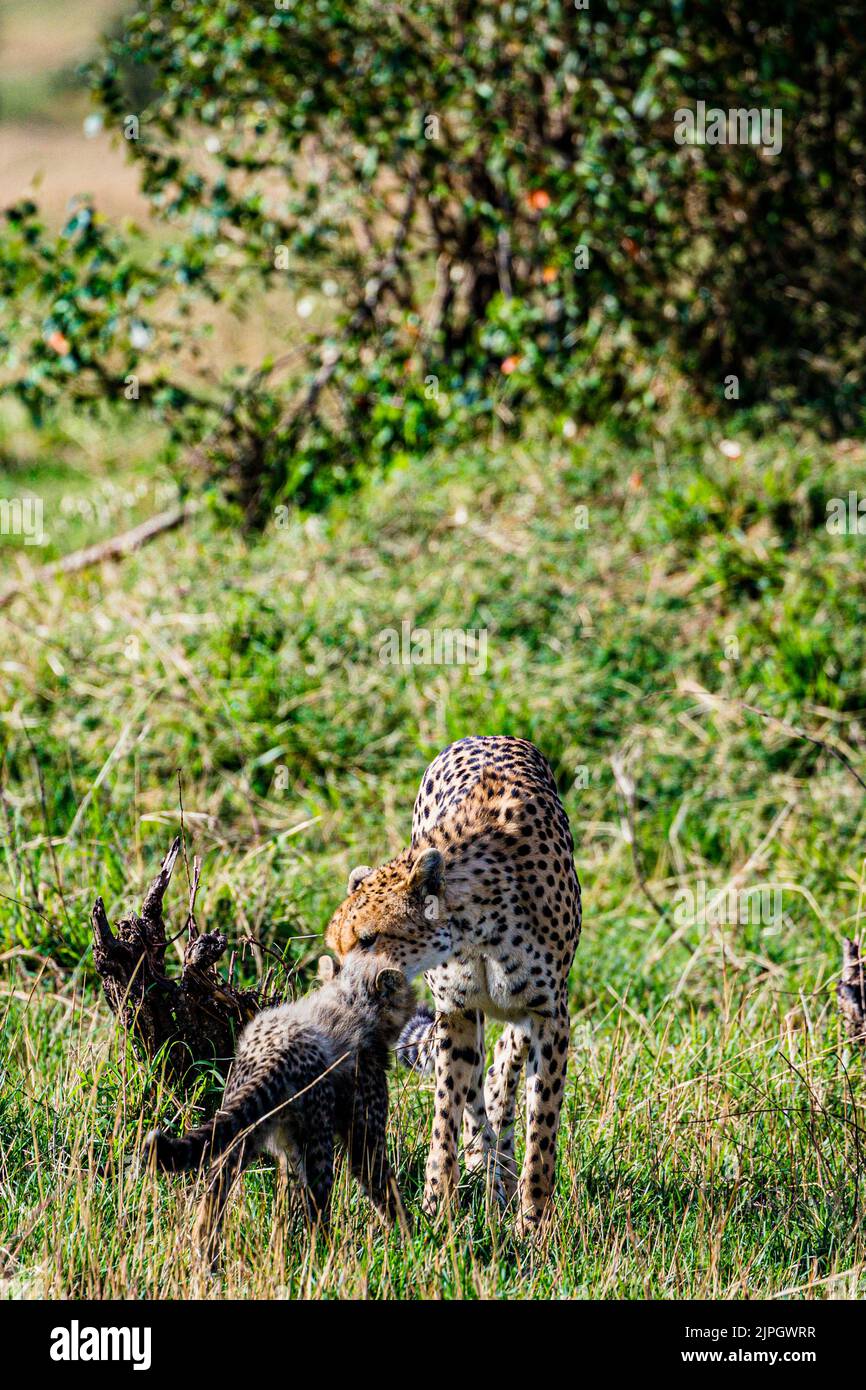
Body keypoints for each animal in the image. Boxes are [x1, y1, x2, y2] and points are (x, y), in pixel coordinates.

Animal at [144, 953, 414, 1264]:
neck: (351, 1001)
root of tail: (277, 1051)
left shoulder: (287, 1149)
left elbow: (285, 1198)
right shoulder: (363, 1134)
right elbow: (381, 1183)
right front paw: (415, 1238)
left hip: (242, 1127)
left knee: (216, 1188)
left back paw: (205, 1255)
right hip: (317, 1138)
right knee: (317, 1207)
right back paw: (325, 1259)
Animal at [325, 734, 581, 1235]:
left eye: (368, 939)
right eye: (338, 950)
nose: (347, 993)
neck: (478, 924)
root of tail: (491, 735)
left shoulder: (550, 1015)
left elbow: (542, 1131)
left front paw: (532, 1226)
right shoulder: (456, 1012)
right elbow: (447, 1112)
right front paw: (437, 1207)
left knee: (503, 1062)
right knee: (481, 1089)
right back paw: (488, 1169)